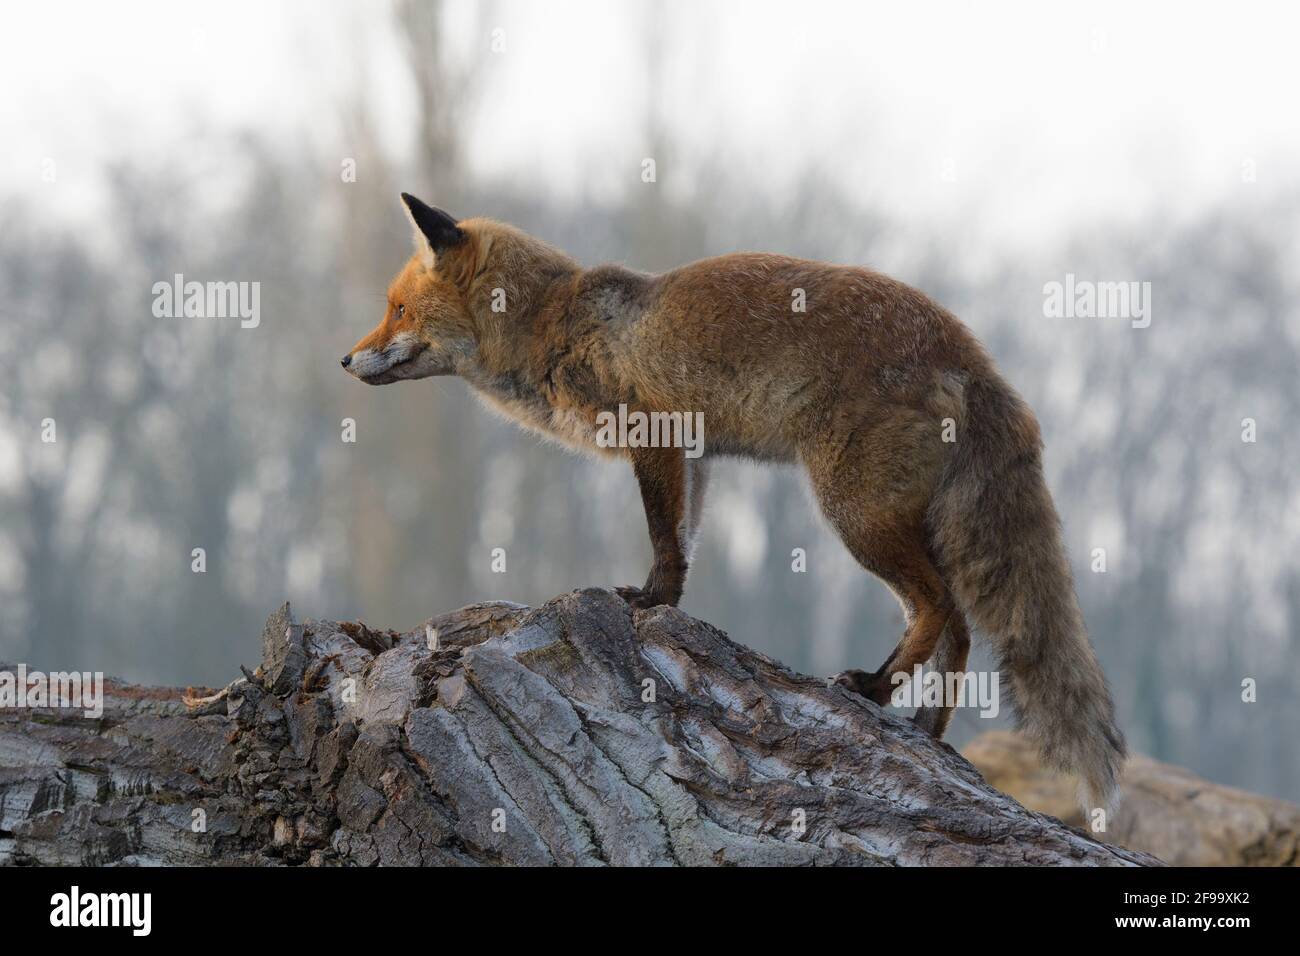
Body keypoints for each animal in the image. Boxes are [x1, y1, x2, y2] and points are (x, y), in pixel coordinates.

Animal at [342, 192, 1127, 815]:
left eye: (398, 310)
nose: (346, 361)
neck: (555, 322)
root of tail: (970, 351)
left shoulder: (654, 434)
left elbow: (663, 537)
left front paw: (648, 602)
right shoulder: (694, 456)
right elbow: (683, 539)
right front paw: (663, 602)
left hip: (855, 513)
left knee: (936, 608)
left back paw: (875, 690)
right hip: (902, 520)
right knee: (959, 626)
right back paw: (927, 729)